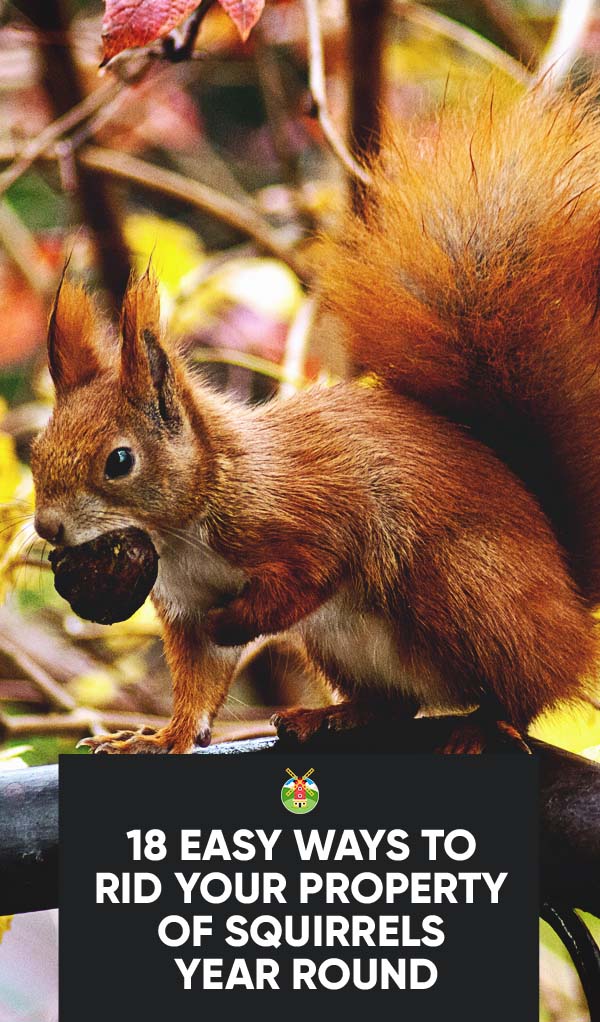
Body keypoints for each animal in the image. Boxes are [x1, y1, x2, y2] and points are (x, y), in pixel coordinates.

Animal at [30, 81, 600, 754]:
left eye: (119, 461)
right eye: (35, 452)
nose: (46, 529)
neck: (186, 525)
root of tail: (569, 603)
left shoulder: (309, 516)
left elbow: (311, 575)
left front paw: (235, 622)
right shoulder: (184, 607)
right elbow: (198, 682)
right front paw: (160, 738)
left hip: (467, 593)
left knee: (523, 693)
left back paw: (484, 724)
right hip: (345, 645)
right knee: (397, 704)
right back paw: (333, 715)